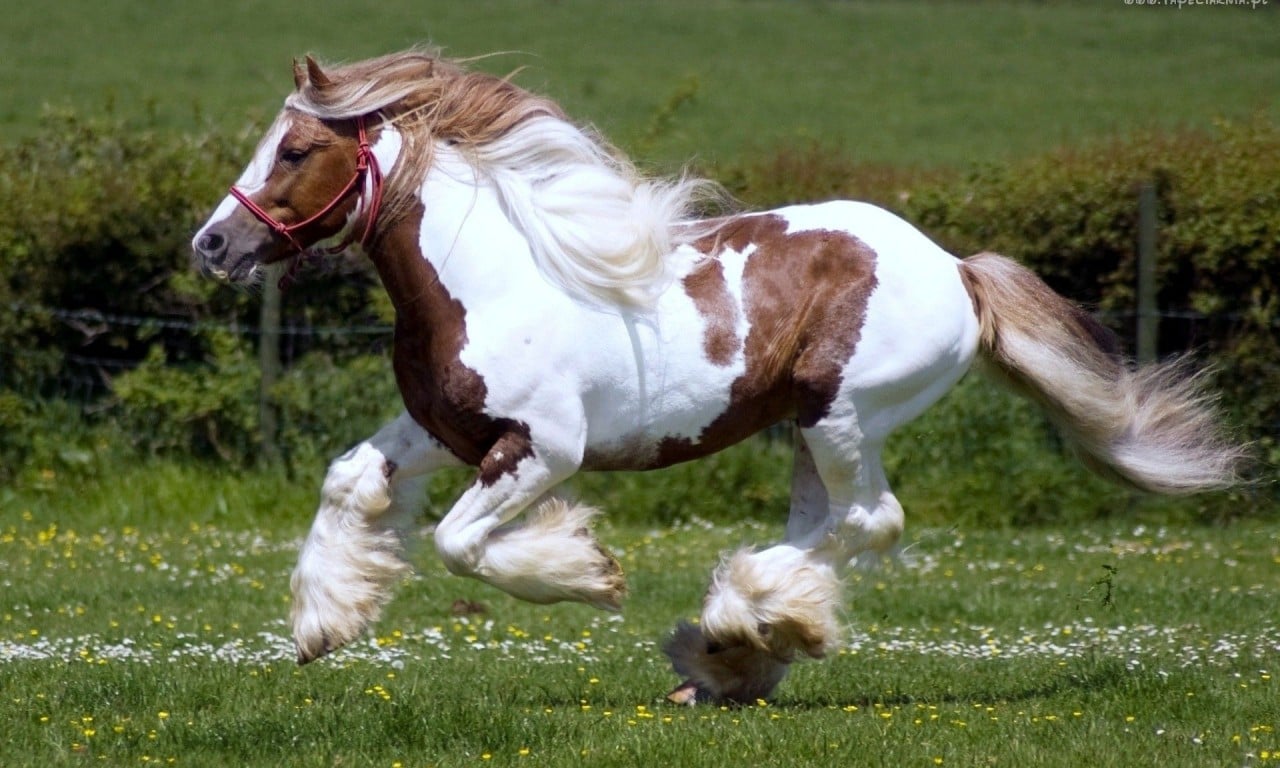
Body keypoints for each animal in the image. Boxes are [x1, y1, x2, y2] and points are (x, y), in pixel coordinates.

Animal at [192, 49, 1245, 704]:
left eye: (296, 149)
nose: (212, 244)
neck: (489, 279)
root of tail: (955, 270)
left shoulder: (542, 450)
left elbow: (458, 545)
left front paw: (588, 573)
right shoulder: (439, 430)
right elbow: (347, 482)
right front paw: (323, 625)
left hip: (841, 415)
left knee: (870, 521)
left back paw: (738, 629)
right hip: (811, 432)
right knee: (830, 526)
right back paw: (733, 653)